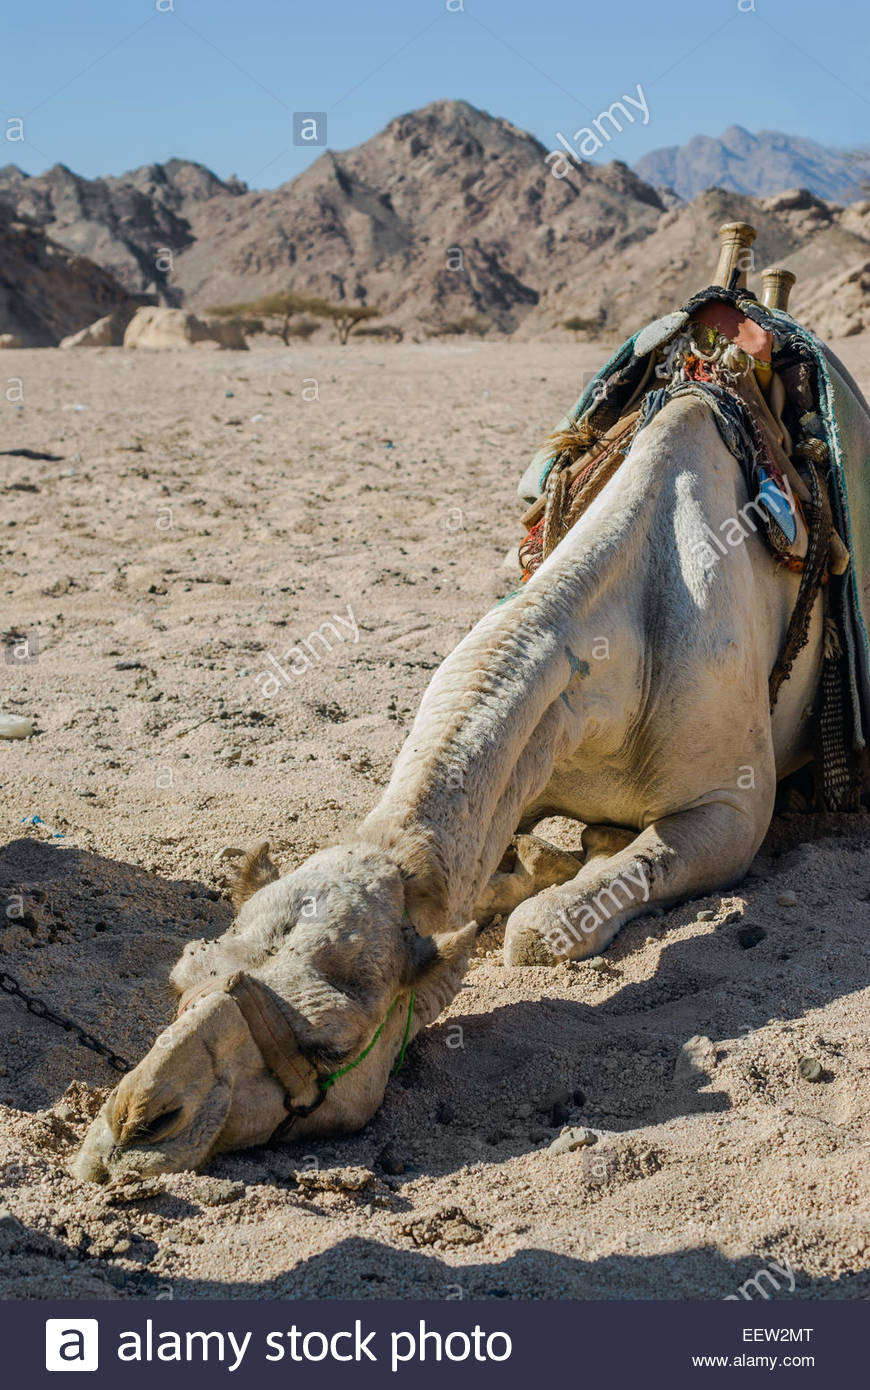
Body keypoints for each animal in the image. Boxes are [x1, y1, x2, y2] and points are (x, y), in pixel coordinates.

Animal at [74, 243, 860, 1182]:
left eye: (333, 1039)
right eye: (184, 976)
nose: (133, 1125)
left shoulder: (734, 809)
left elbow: (536, 929)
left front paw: (555, 877)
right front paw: (544, 861)